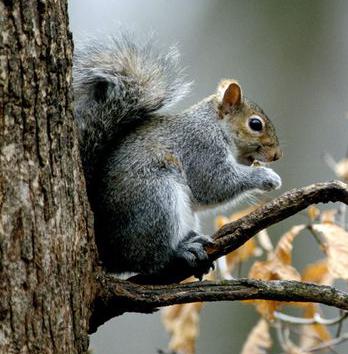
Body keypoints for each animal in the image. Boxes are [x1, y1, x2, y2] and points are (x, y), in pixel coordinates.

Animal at [73, 34, 282, 278]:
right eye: (255, 124)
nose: (277, 155)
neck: (215, 126)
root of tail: (107, 250)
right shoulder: (200, 148)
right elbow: (214, 184)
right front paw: (266, 176)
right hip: (155, 199)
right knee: (150, 260)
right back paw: (180, 252)